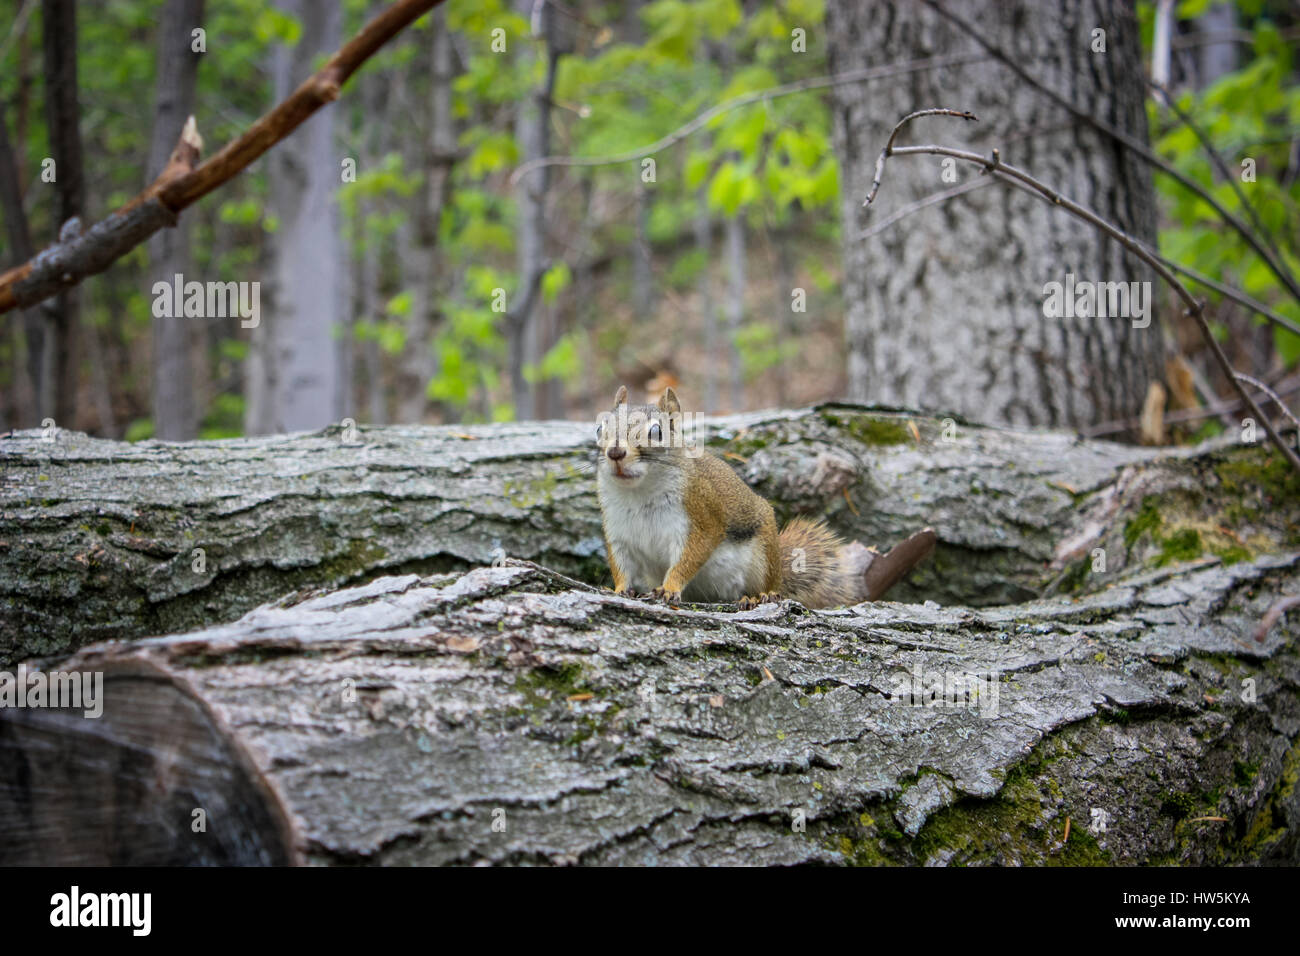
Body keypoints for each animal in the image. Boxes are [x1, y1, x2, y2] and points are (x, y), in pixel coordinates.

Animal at [595, 385, 934, 609]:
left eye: (657, 432)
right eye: (599, 428)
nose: (615, 453)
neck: (638, 493)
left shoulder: (701, 514)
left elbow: (690, 556)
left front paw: (669, 588)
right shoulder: (617, 531)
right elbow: (621, 564)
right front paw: (619, 589)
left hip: (761, 558)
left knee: (767, 588)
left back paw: (761, 596)